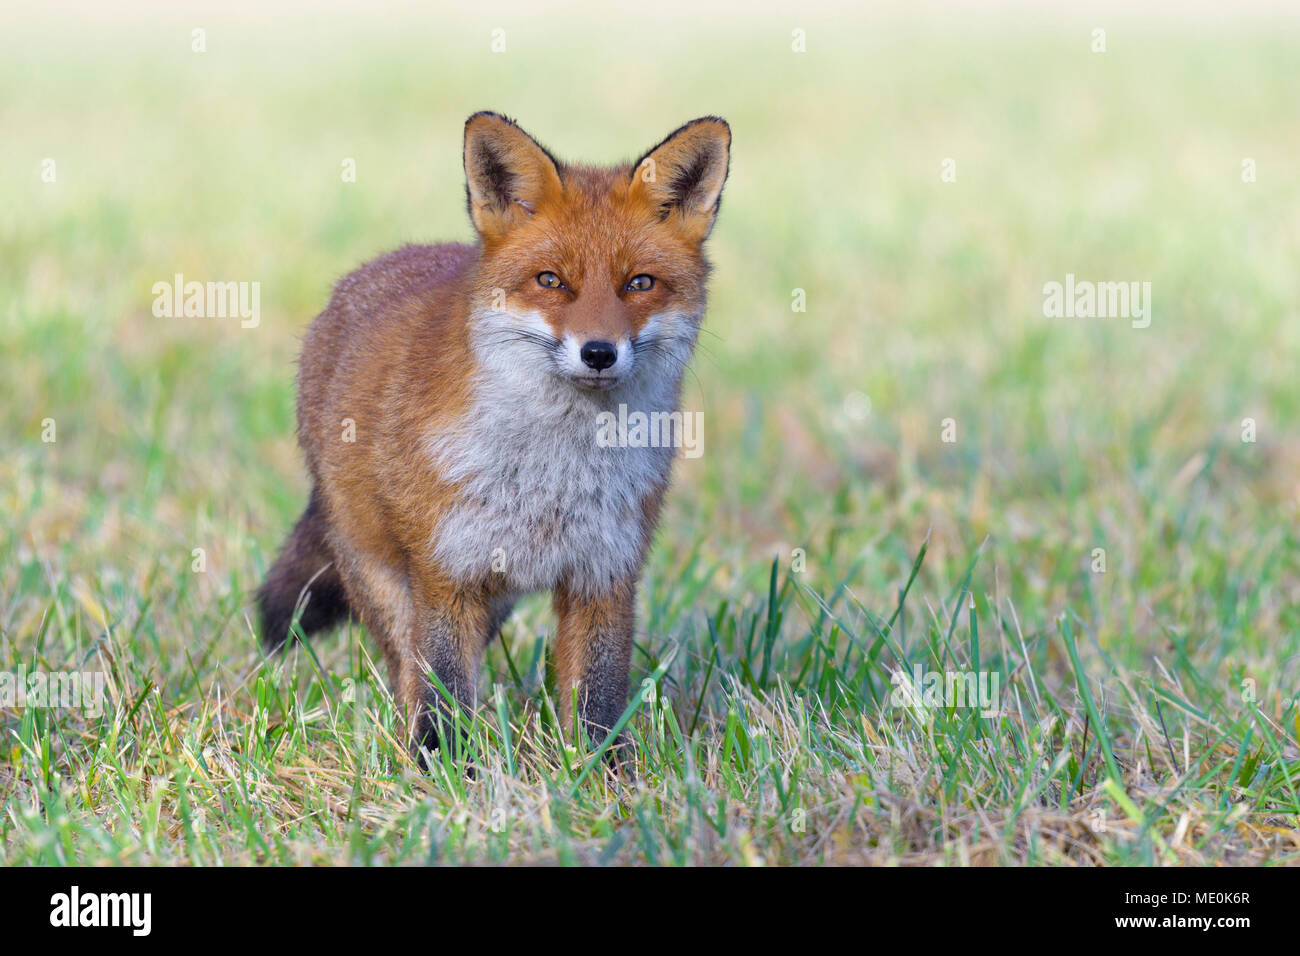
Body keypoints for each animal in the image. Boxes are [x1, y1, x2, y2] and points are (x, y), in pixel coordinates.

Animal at [257, 111, 730, 763]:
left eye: (640, 283)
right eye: (551, 280)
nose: (599, 352)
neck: (554, 474)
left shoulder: (605, 572)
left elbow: (597, 700)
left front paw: (602, 775)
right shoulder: (445, 572)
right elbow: (441, 691)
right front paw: (441, 770)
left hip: (497, 598)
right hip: (382, 572)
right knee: (406, 668)